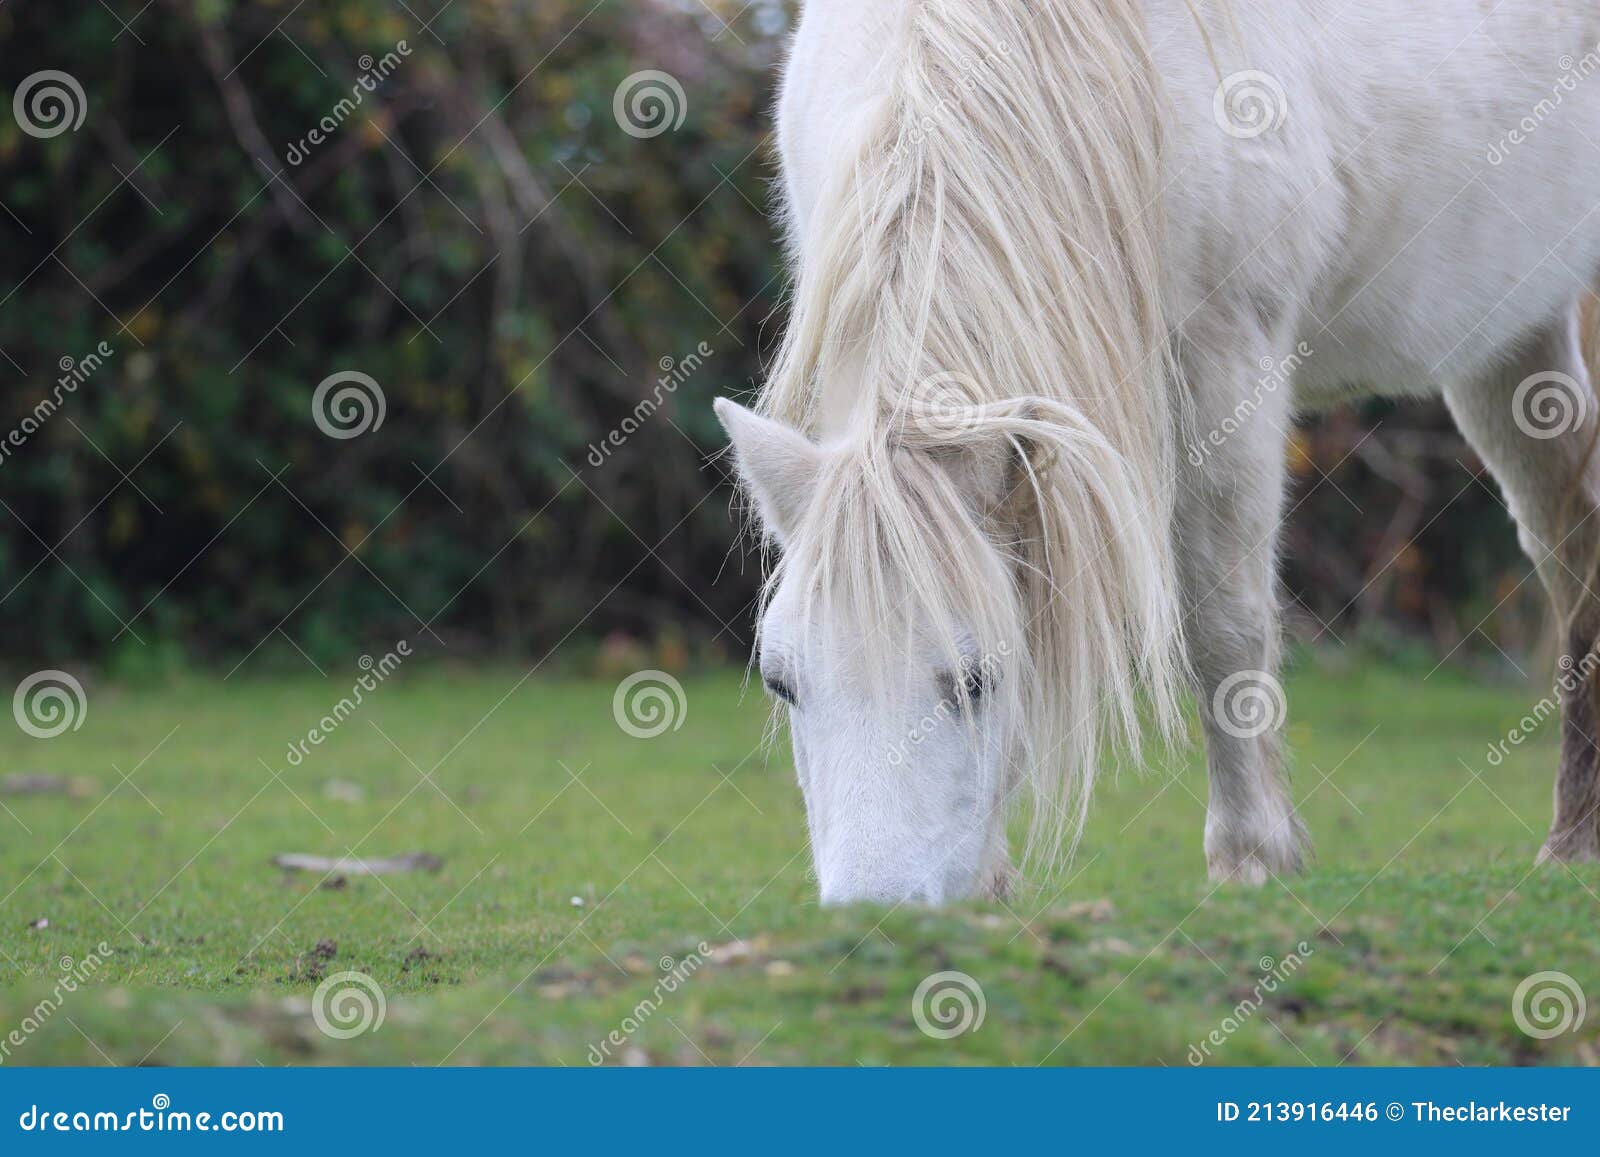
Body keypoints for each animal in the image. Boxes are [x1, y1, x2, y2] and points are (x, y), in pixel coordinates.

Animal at [714, 0, 1600, 905]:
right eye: (782, 679)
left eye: (977, 677)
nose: (877, 913)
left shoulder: (1227, 362)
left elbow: (1224, 623)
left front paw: (1251, 856)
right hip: (1515, 339)